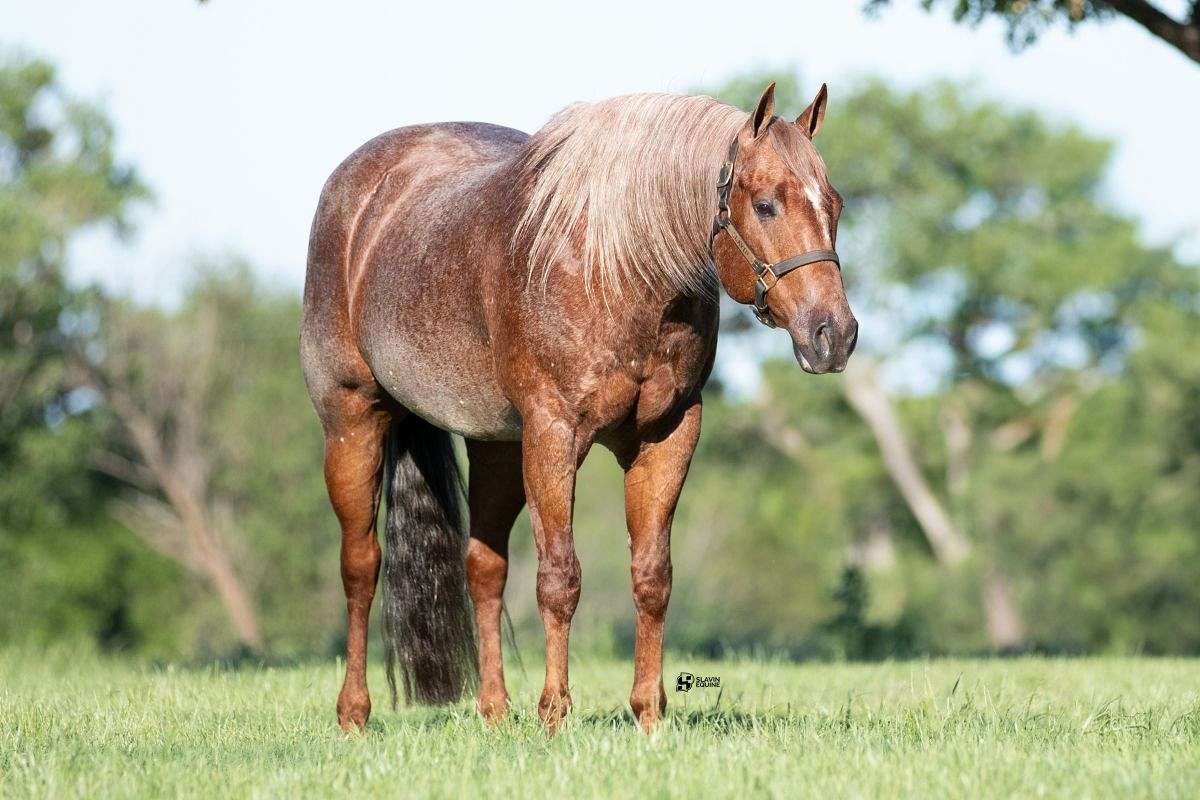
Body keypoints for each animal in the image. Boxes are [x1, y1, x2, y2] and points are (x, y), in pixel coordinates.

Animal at [300, 81, 857, 733]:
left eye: (835, 204)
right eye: (766, 205)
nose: (834, 335)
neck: (619, 265)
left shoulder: (667, 435)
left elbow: (652, 575)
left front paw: (648, 713)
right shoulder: (554, 433)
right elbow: (559, 578)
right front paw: (554, 714)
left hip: (496, 445)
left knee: (483, 568)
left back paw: (494, 712)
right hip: (352, 423)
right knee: (361, 566)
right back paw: (353, 714)